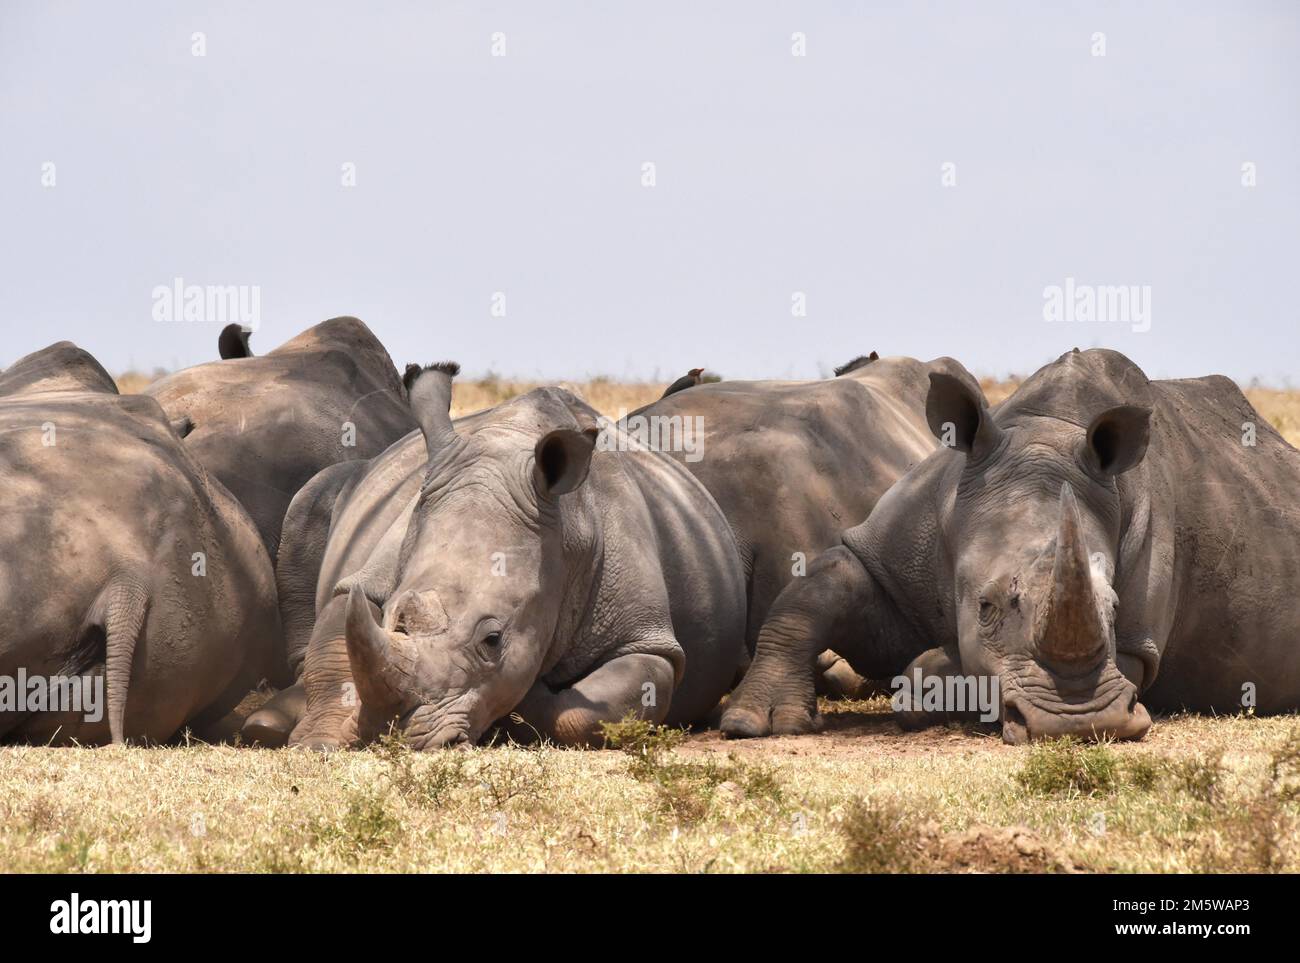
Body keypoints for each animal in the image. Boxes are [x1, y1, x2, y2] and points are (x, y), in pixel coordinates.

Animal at [248, 363, 747, 749]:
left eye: (493, 640)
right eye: (397, 618)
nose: (399, 736)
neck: (568, 530)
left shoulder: (646, 637)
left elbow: (600, 709)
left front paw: (526, 700)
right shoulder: (374, 570)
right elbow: (337, 639)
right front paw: (320, 741)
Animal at [722, 348, 1300, 743]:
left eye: (1113, 608)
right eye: (985, 606)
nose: (1080, 724)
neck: (1043, 436)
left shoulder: (1138, 643)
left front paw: (921, 684)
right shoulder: (891, 554)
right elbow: (813, 594)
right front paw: (754, 722)